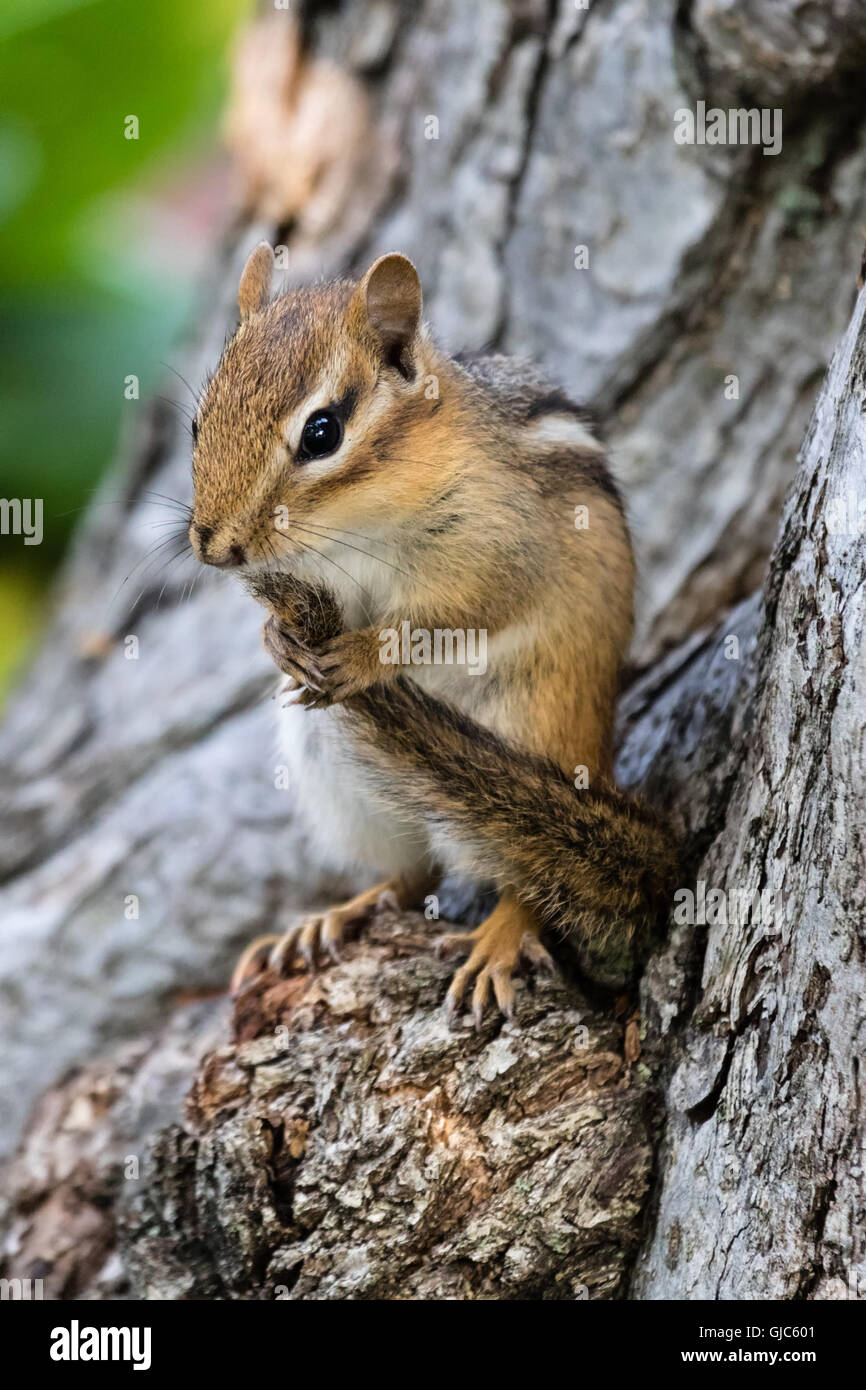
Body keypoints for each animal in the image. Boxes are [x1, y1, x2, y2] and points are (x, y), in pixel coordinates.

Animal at [189, 243, 677, 1025]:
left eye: (321, 433)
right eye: (198, 425)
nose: (213, 548)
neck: (356, 524)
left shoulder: (505, 546)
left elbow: (457, 615)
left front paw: (365, 653)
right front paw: (273, 637)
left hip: (535, 723)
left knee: (529, 874)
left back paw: (500, 936)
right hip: (330, 758)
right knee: (411, 872)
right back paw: (334, 916)